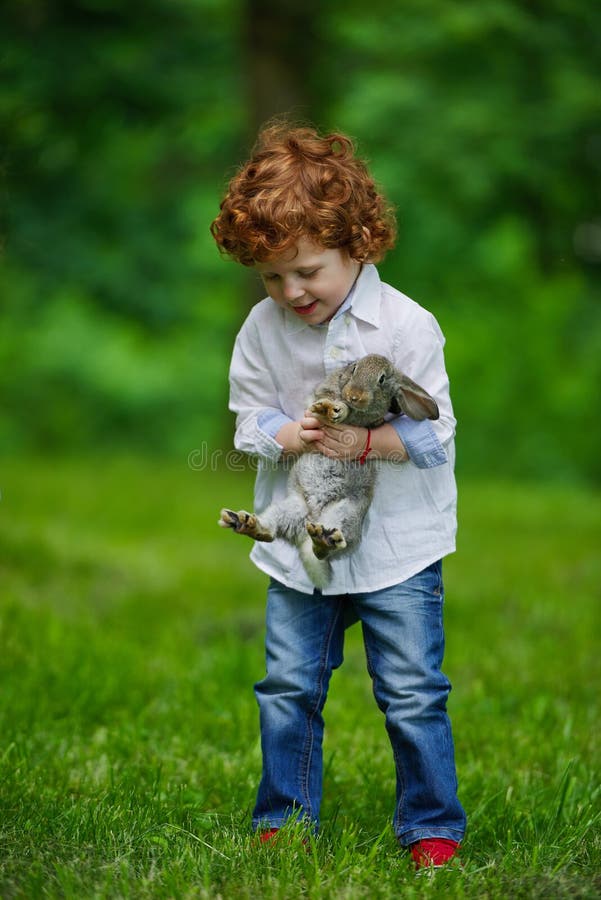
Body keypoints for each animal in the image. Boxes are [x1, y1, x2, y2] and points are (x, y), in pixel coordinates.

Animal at [218, 354, 439, 589]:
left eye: (382, 379)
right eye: (354, 368)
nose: (354, 396)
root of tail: (308, 528)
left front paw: (336, 410)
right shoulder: (324, 392)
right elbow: (325, 401)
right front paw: (328, 408)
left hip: (345, 515)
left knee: (325, 549)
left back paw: (323, 540)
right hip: (289, 509)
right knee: (269, 531)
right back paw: (244, 523)